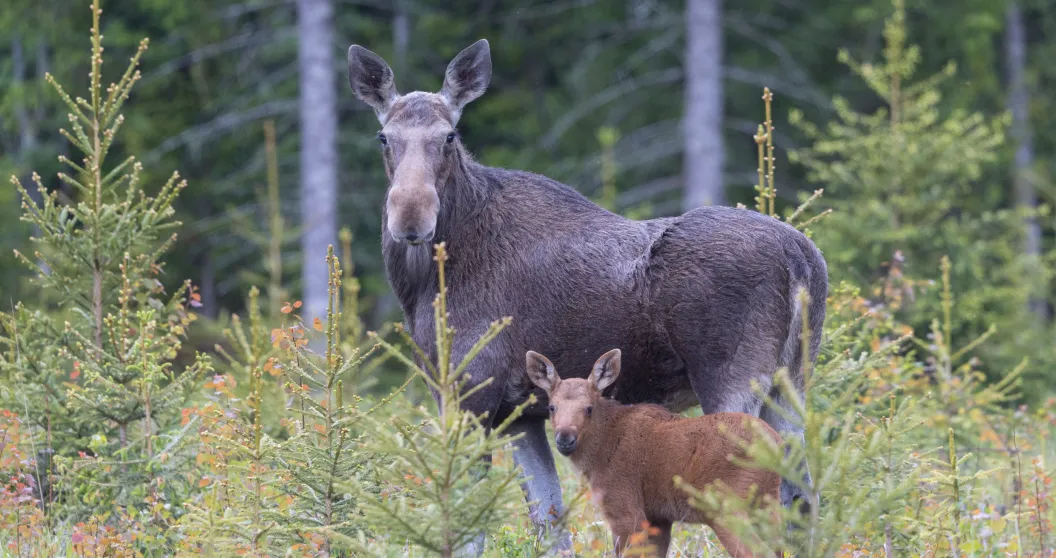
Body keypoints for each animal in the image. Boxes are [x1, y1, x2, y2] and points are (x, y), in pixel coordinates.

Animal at [526, 349, 783, 557]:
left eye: (588, 408)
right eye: (552, 407)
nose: (565, 439)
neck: (599, 452)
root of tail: (775, 444)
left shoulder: (625, 510)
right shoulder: (659, 518)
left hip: (727, 509)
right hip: (767, 505)